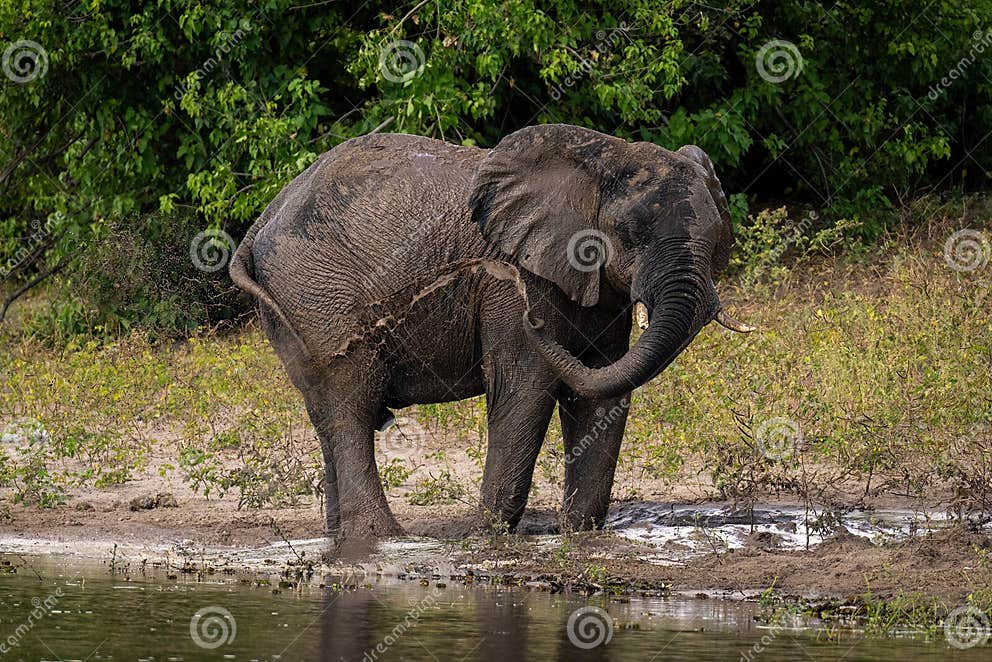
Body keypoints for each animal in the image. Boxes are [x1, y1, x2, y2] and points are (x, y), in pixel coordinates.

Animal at [229, 123, 753, 540]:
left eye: (716, 239)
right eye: (631, 235)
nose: (531, 318)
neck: (603, 157)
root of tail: (262, 219)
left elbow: (602, 391)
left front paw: (577, 534)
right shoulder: (515, 279)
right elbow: (528, 386)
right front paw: (487, 536)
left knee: (327, 415)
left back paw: (341, 538)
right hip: (316, 296)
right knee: (350, 402)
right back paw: (382, 539)